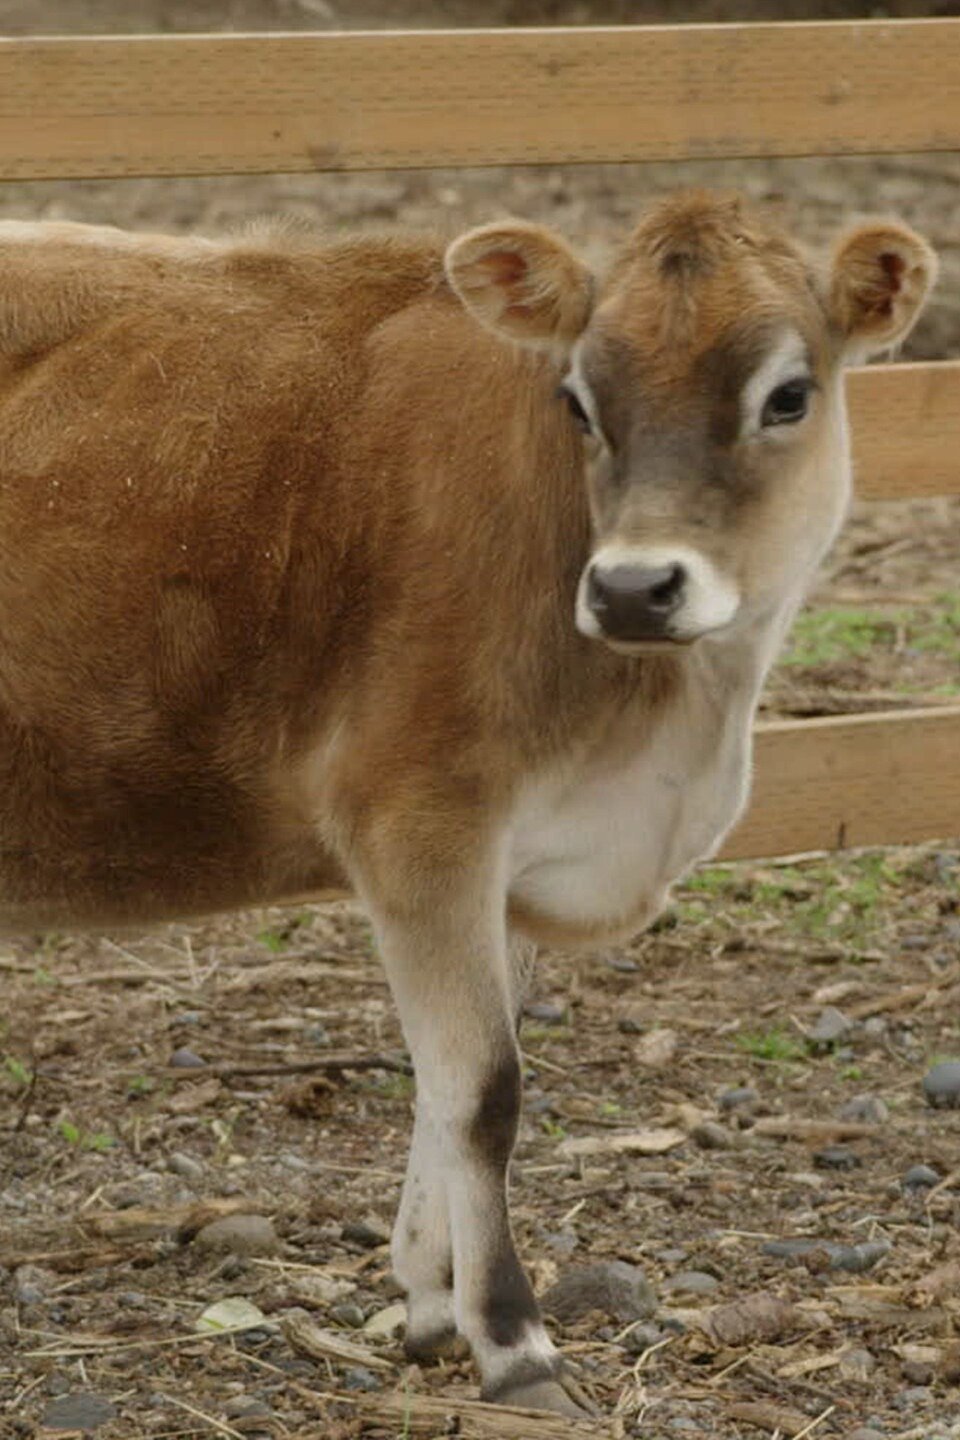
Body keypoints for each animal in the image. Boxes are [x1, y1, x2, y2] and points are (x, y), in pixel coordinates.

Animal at [0, 193, 934, 1415]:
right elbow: (485, 1092)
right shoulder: (419, 821)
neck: (675, 736)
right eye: (577, 398)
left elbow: (441, 1093)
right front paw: (513, 1341)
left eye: (788, 395)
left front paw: (431, 1307)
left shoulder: (513, 860)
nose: (635, 589)